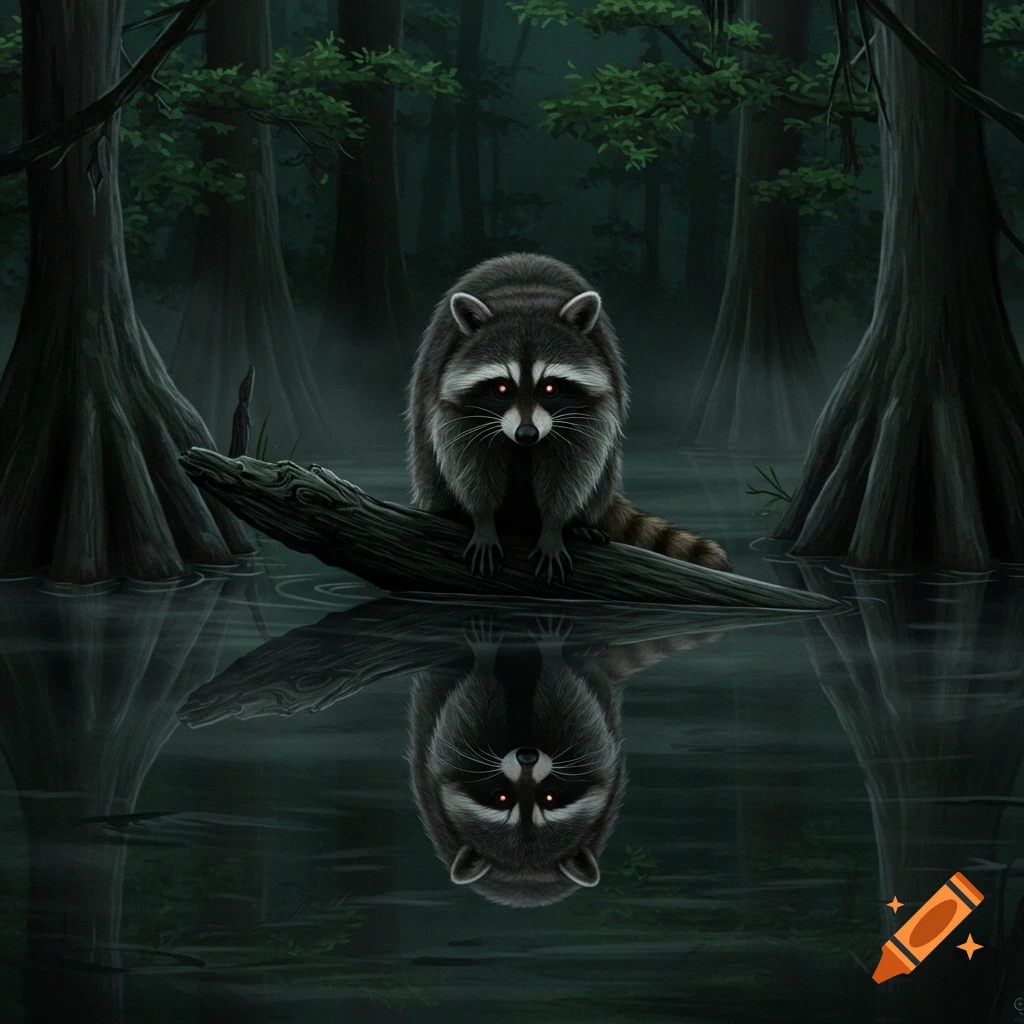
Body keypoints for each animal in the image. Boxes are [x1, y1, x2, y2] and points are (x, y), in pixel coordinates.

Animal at [407, 252, 730, 581]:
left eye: (550, 388)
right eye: (501, 388)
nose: (527, 434)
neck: (524, 298)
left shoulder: (591, 410)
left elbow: (572, 468)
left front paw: (555, 525)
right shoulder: (457, 408)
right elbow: (469, 463)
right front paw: (483, 519)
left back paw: (579, 523)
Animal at [409, 618, 626, 907]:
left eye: (550, 798)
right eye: (501, 798)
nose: (527, 757)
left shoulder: (601, 764)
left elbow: (575, 713)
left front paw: (549, 655)